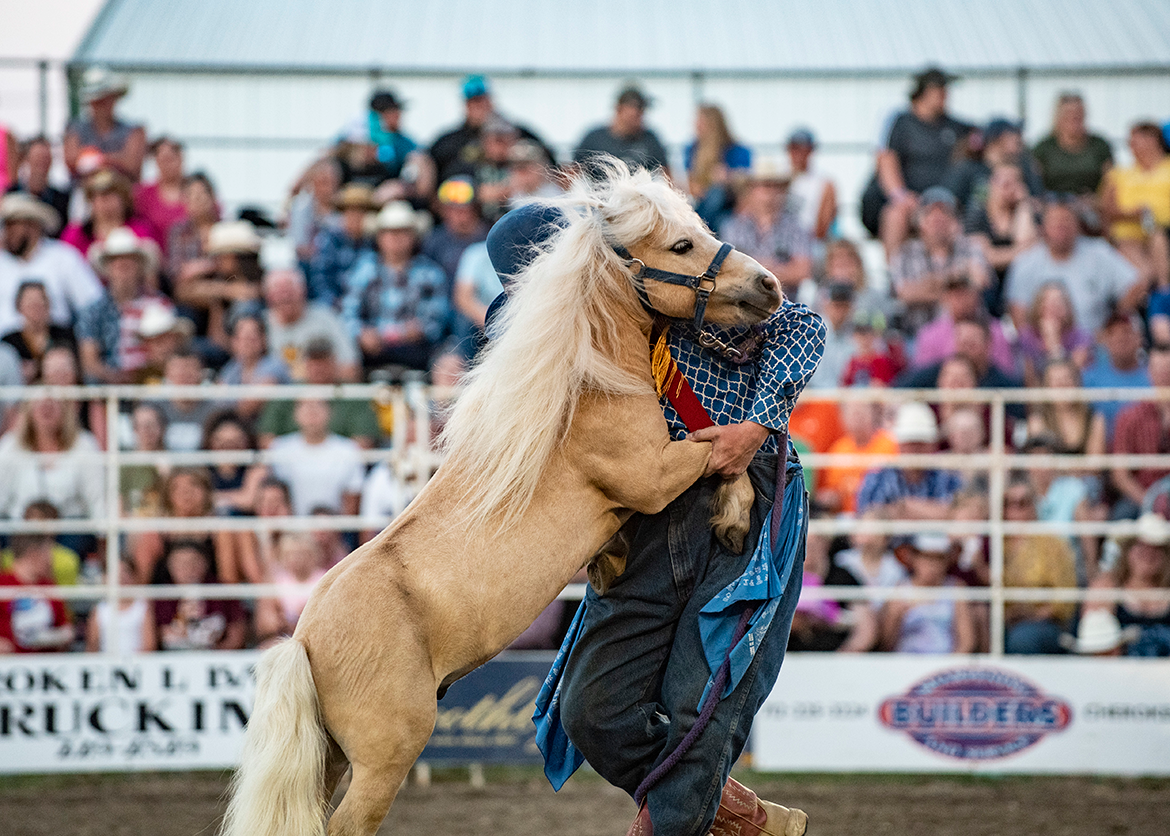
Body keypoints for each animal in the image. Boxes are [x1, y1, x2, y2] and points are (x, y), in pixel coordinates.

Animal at [221, 160, 783, 836]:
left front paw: (616, 560)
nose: (770, 285)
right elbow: (723, 452)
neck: (587, 385)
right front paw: (734, 519)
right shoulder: (652, 475)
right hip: (382, 763)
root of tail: (303, 642)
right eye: (680, 246)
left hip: (328, 757)